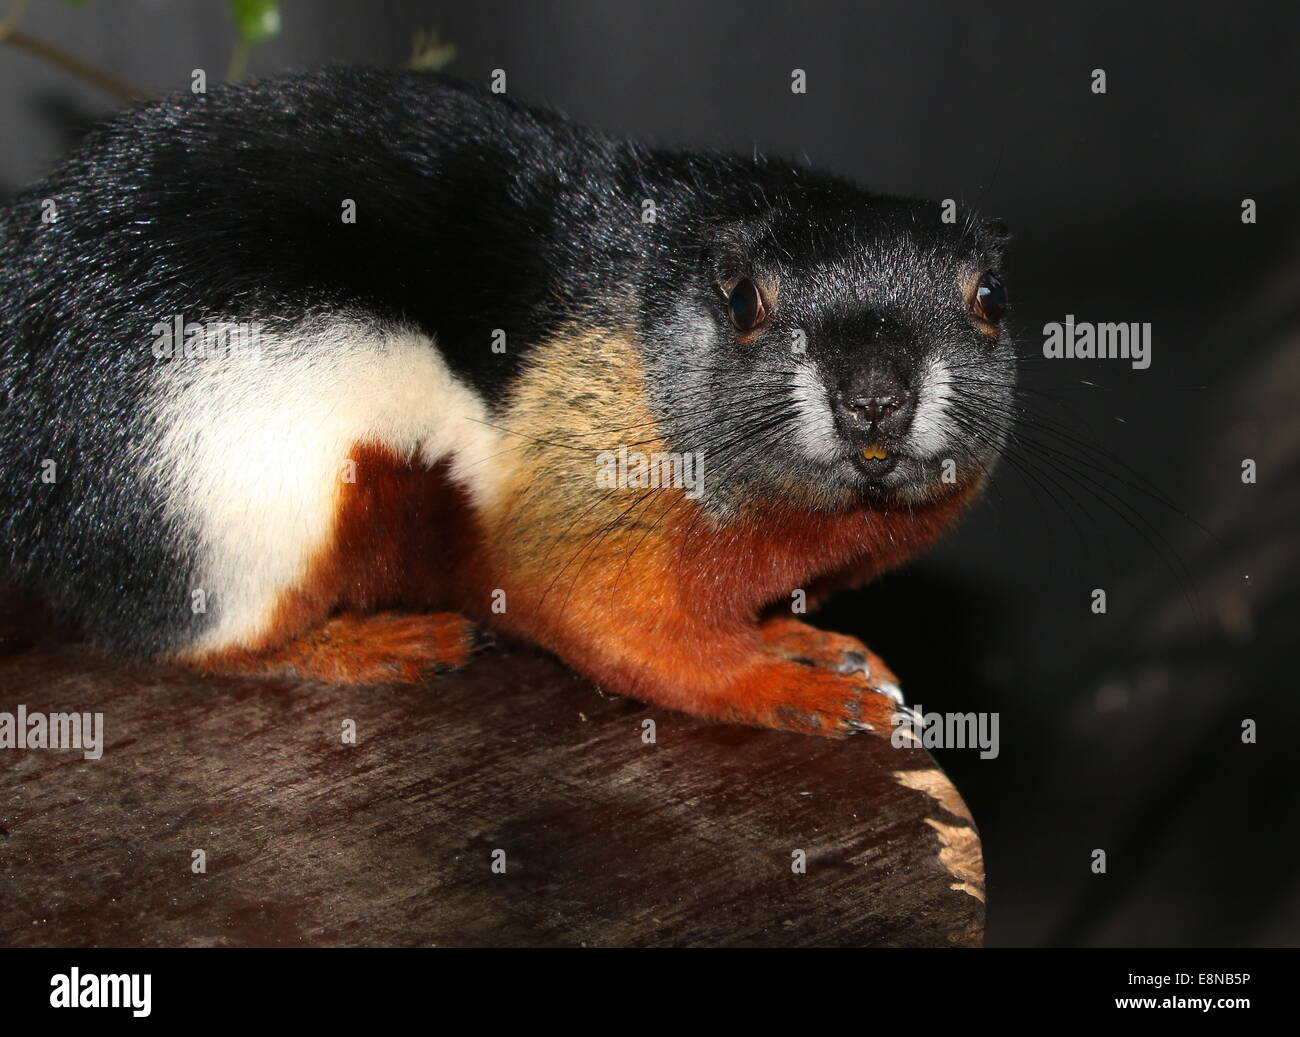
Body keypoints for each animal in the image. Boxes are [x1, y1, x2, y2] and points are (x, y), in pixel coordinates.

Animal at [0, 68, 1013, 737]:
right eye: (742, 301)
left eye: (990, 298)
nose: (875, 399)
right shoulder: (579, 503)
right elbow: (621, 626)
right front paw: (782, 682)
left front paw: (809, 638)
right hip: (237, 508)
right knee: (196, 639)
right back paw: (368, 643)